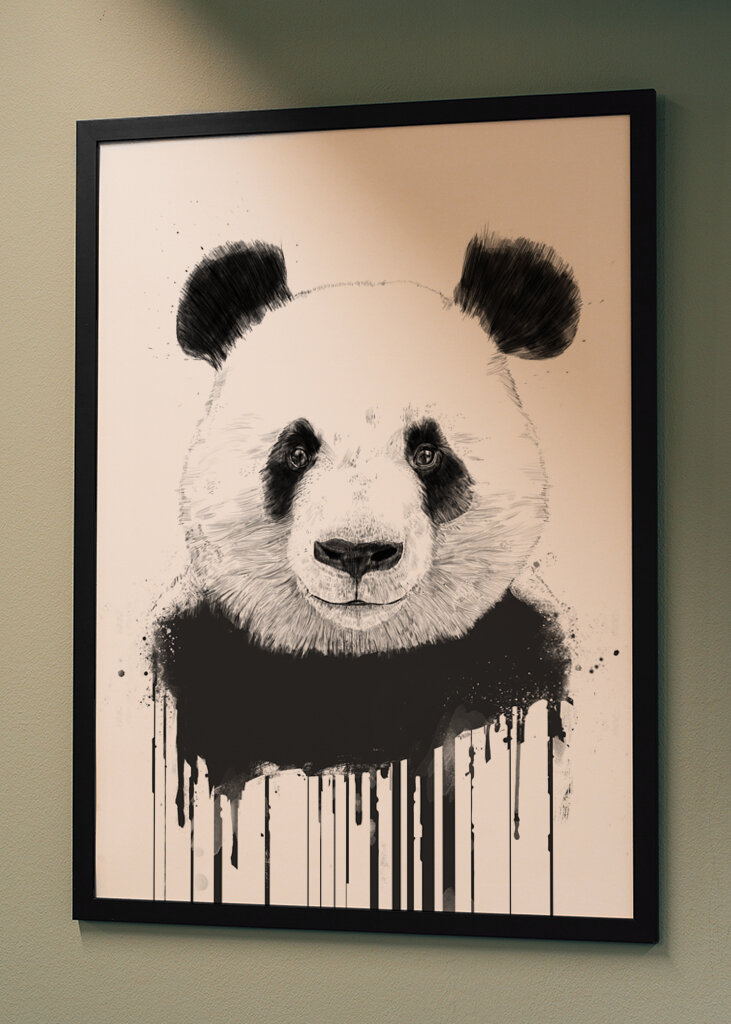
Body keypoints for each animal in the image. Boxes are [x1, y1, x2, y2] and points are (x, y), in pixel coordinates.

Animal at [153, 234, 579, 795]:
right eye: (296, 452)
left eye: (427, 453)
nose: (356, 553)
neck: (356, 663)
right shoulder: (203, 660)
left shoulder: (513, 657)